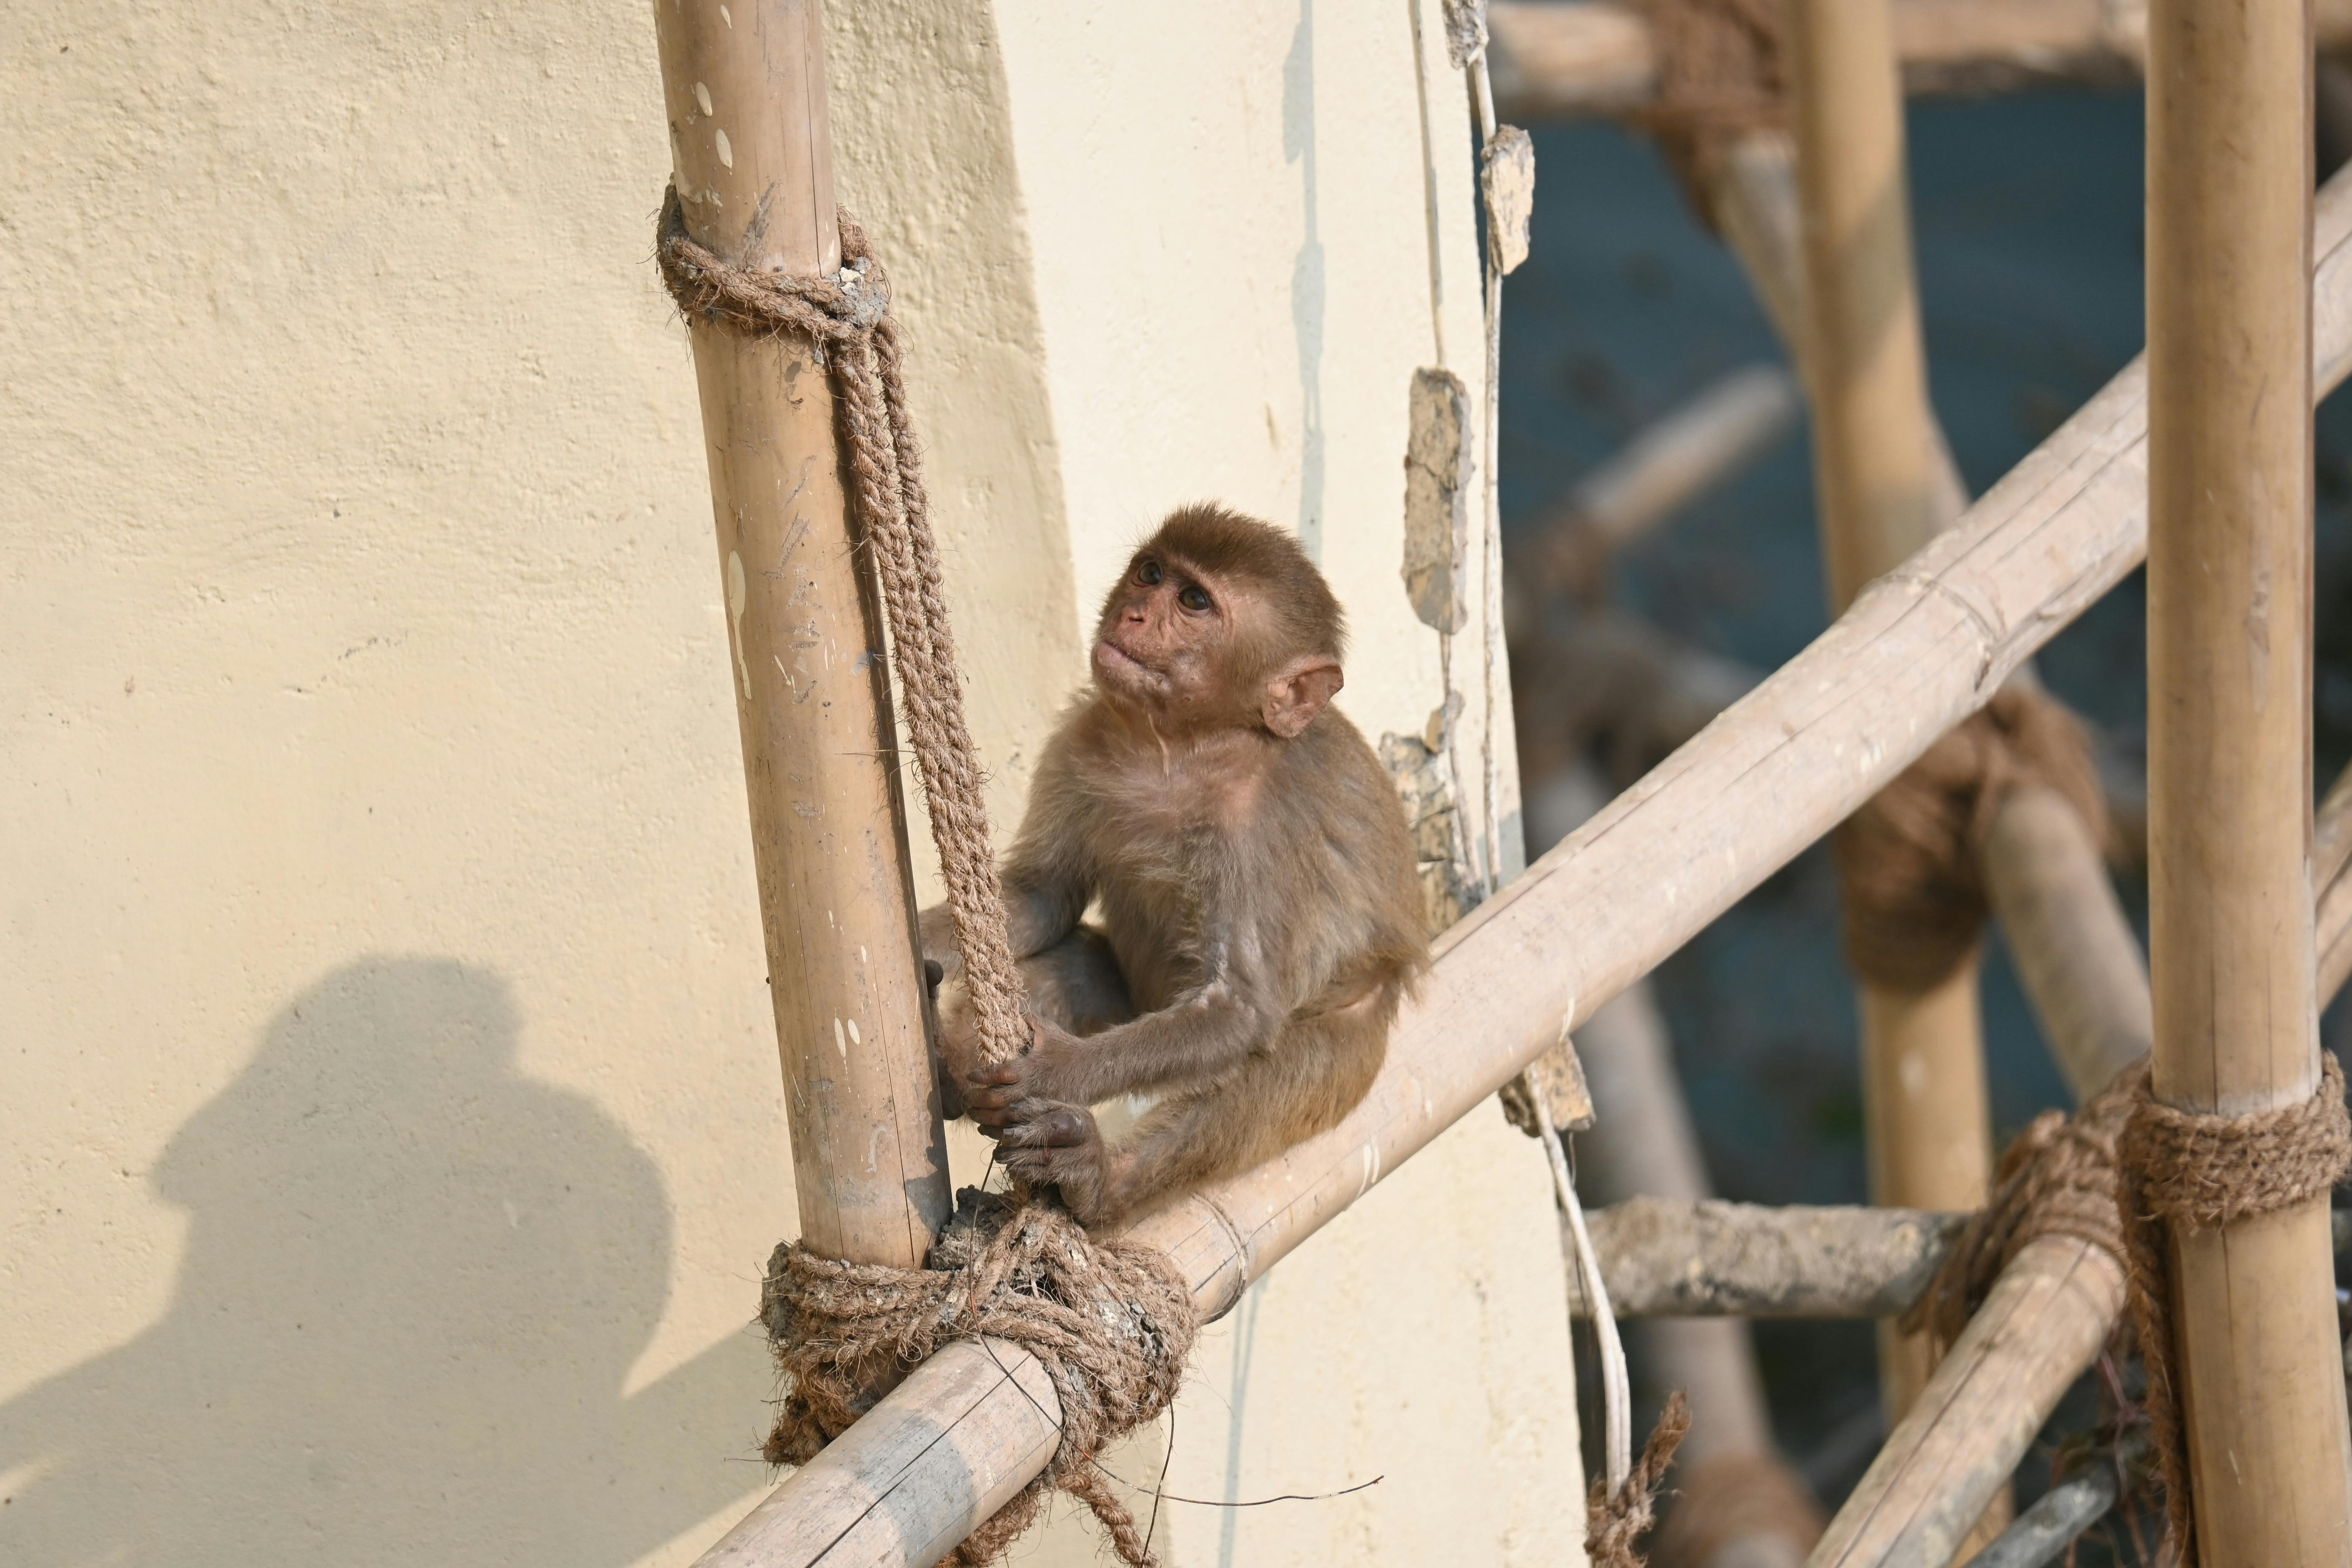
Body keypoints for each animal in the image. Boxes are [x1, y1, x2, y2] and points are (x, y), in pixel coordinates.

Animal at [919, 503, 1427, 1228]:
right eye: (1151, 574)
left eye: (1194, 602)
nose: (1133, 614)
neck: (1181, 747)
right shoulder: (1084, 737)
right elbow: (1040, 899)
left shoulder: (1258, 827)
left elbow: (1238, 1010)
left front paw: (1058, 1073)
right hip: (1135, 996)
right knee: (1080, 964)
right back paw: (953, 1073)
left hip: (1357, 1031)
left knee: (1262, 1082)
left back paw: (1099, 1182)